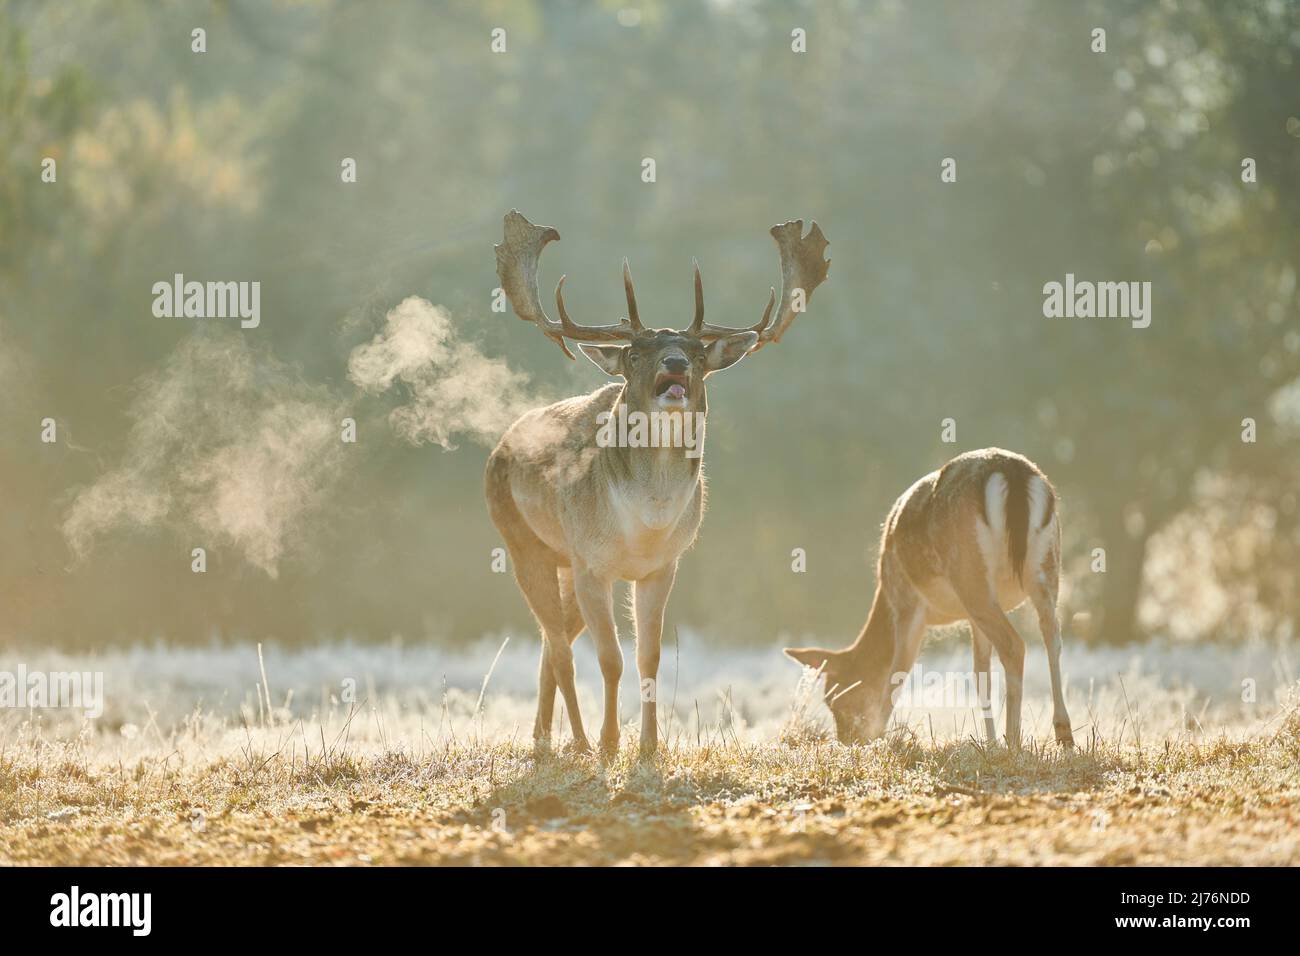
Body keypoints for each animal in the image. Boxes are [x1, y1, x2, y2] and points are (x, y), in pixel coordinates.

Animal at [487, 210, 830, 757]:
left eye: (697, 352)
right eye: (634, 353)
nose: (675, 363)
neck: (646, 520)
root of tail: (500, 445)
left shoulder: (661, 567)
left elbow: (649, 658)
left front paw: (649, 745)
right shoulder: (593, 564)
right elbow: (610, 659)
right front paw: (609, 742)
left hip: (563, 563)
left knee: (548, 644)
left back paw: (542, 736)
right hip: (525, 546)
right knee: (559, 650)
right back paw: (576, 741)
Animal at [785, 448, 1074, 749]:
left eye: (834, 698)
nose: (848, 739)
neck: (884, 595)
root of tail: (1011, 472)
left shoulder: (906, 603)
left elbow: (898, 671)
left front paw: (879, 737)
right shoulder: (971, 618)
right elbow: (981, 674)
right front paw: (990, 743)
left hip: (970, 575)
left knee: (1014, 644)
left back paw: (1015, 741)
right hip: (1046, 566)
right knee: (1051, 632)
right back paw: (1063, 732)